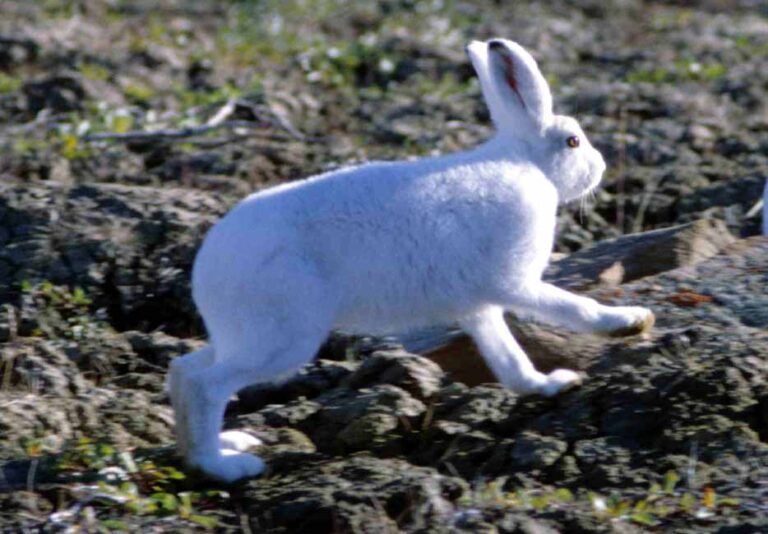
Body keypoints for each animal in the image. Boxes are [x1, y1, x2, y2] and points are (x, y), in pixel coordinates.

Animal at [167, 38, 655, 482]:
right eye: (573, 141)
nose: (600, 167)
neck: (527, 163)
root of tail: (207, 269)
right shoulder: (514, 282)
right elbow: (573, 306)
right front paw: (629, 321)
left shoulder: (479, 305)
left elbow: (508, 359)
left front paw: (549, 384)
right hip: (284, 334)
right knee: (206, 385)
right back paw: (224, 466)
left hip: (248, 333)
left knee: (185, 370)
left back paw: (222, 445)